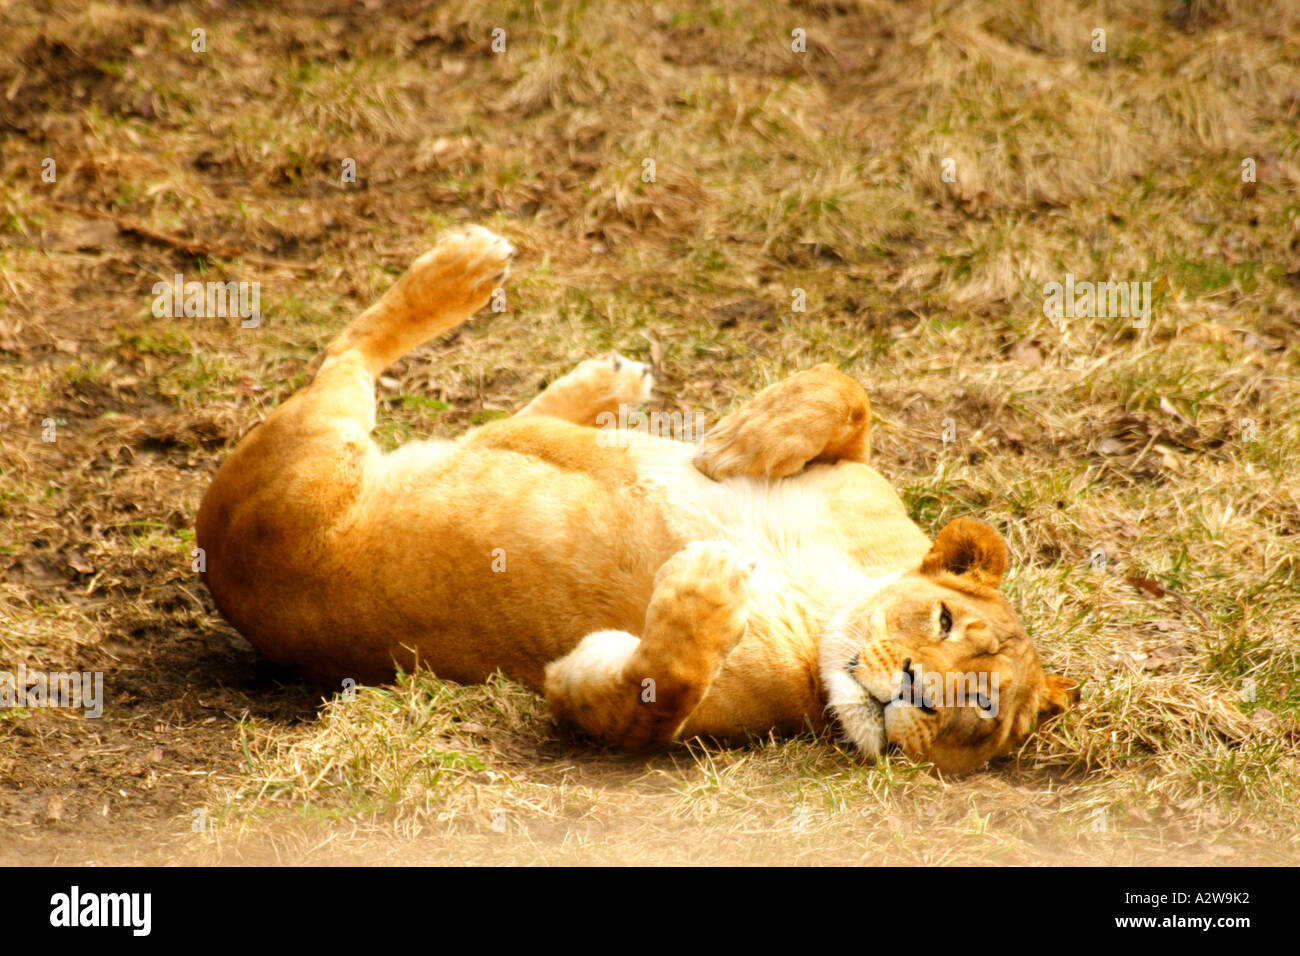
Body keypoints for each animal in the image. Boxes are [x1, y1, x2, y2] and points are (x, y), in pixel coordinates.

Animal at [196, 226, 1078, 774]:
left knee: (395, 380)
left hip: (304, 470)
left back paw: (587, 369)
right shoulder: (861, 481)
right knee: (359, 354)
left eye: (981, 719)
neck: (826, 592)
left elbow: (657, 687)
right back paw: (483, 278)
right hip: (322, 450)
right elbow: (846, 391)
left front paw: (705, 586)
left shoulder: (590, 695)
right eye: (944, 621)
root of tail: (216, 562)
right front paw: (737, 444)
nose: (922, 695)